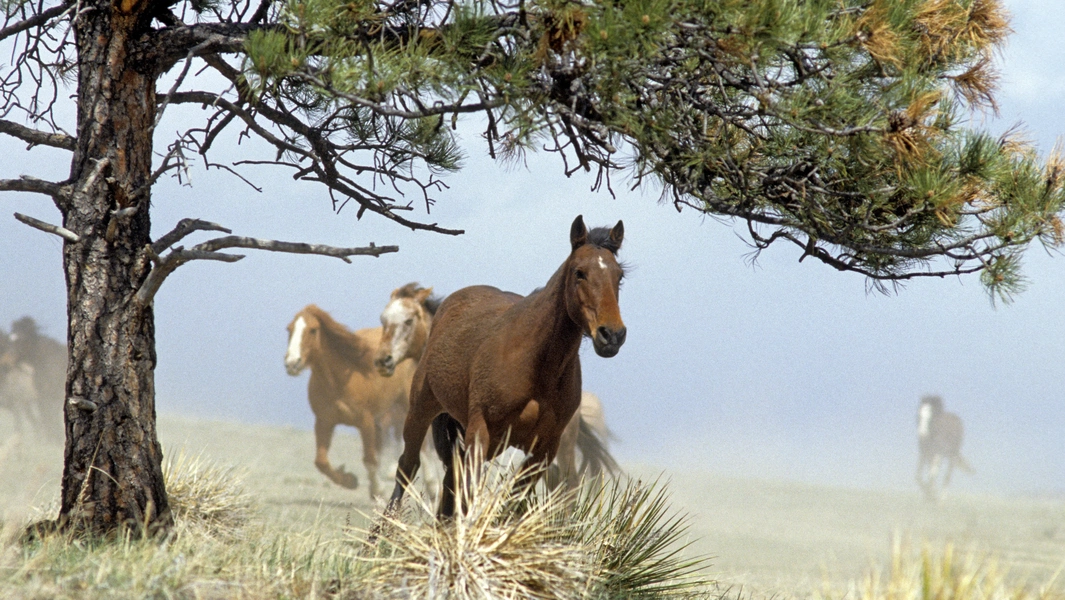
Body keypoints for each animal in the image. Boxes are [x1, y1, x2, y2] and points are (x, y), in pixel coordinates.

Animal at [285, 305, 420, 500]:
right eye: (289, 329)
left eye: (313, 330)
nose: (292, 364)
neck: (339, 381)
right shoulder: (324, 421)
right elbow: (321, 462)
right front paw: (349, 480)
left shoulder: (366, 422)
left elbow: (370, 460)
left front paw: (377, 491)